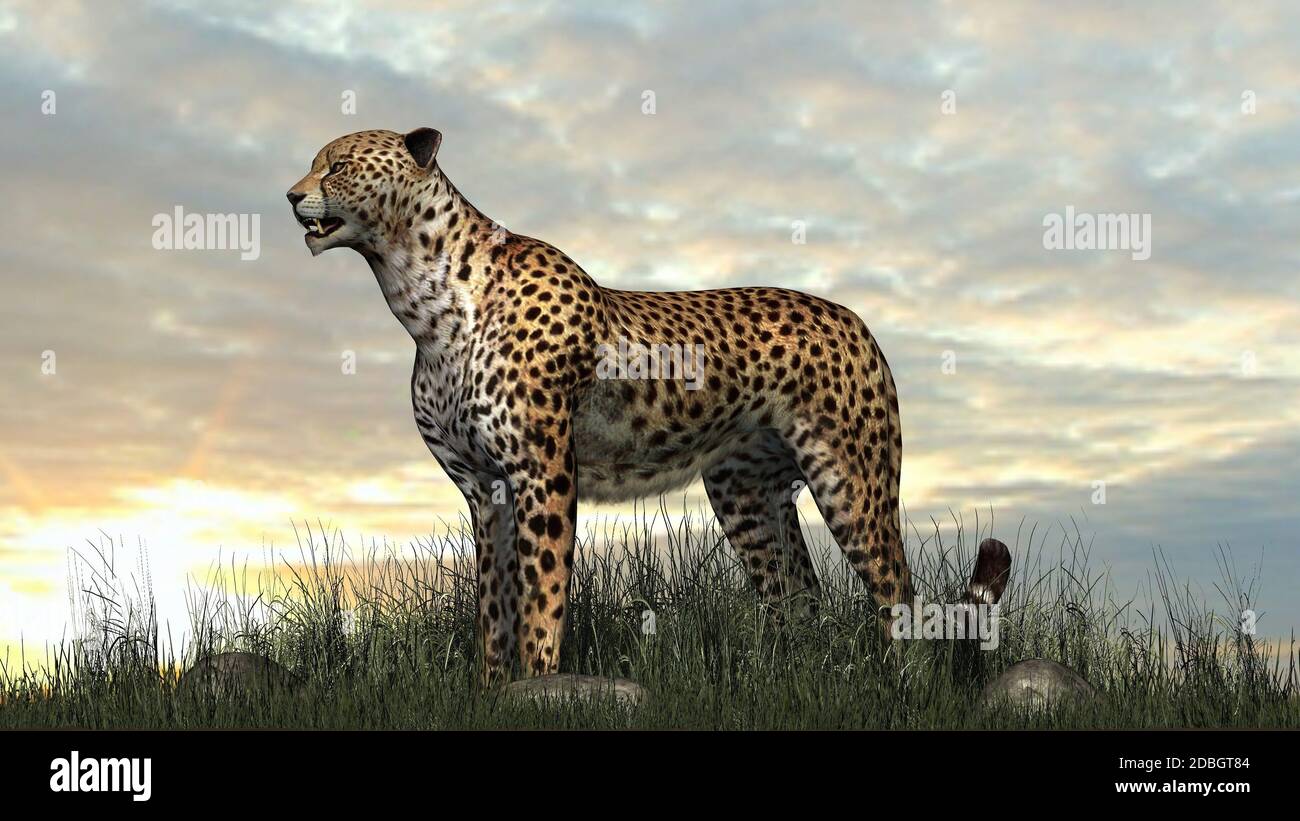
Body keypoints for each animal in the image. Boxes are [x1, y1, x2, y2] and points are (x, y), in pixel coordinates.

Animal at [287, 128, 1010, 682]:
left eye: (339, 164)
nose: (292, 194)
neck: (422, 294)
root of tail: (851, 316)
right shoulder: (482, 488)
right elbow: (494, 608)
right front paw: (492, 690)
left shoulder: (543, 476)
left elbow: (542, 598)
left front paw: (539, 687)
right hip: (747, 494)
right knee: (799, 597)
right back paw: (797, 681)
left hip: (851, 479)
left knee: (897, 592)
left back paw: (903, 686)